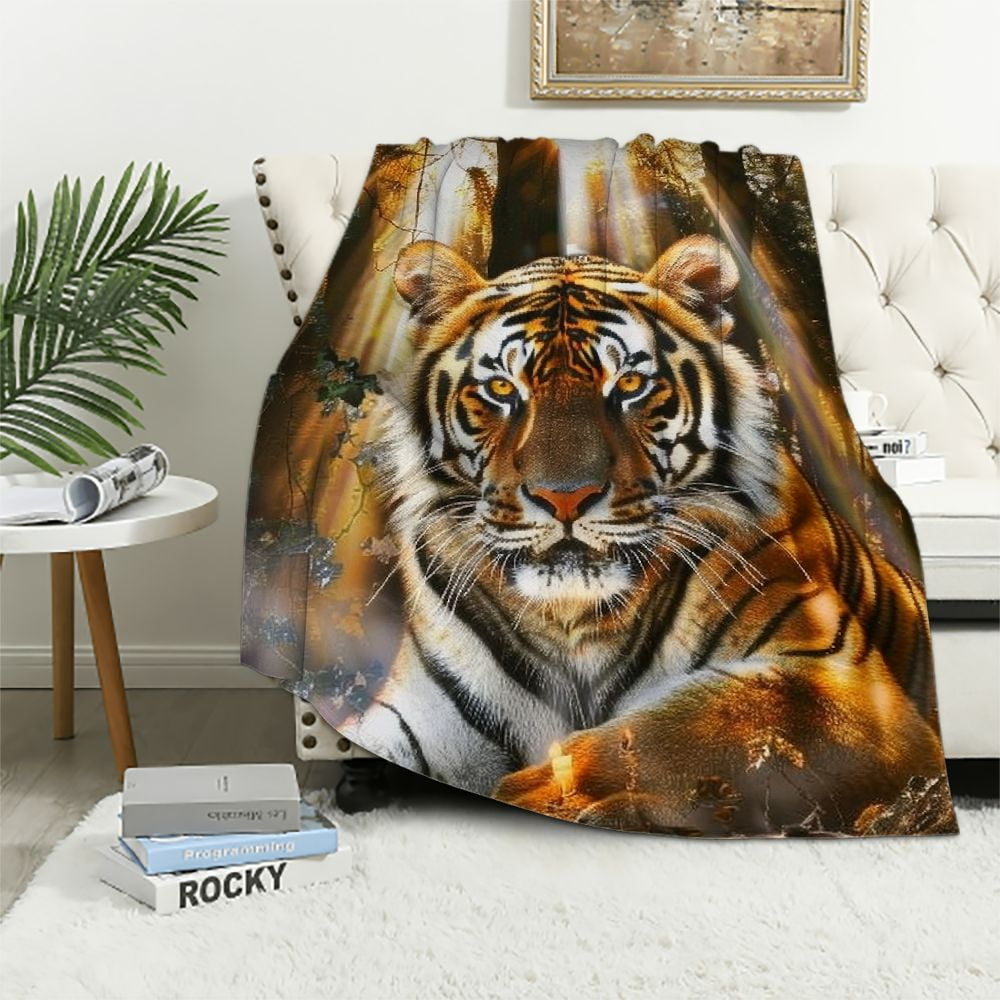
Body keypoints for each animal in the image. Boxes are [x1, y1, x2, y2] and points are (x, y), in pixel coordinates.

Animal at [346, 233, 954, 836]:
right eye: (500, 387)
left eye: (631, 385)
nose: (564, 498)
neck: (574, 622)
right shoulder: (419, 716)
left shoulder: (840, 684)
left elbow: (682, 728)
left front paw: (545, 792)